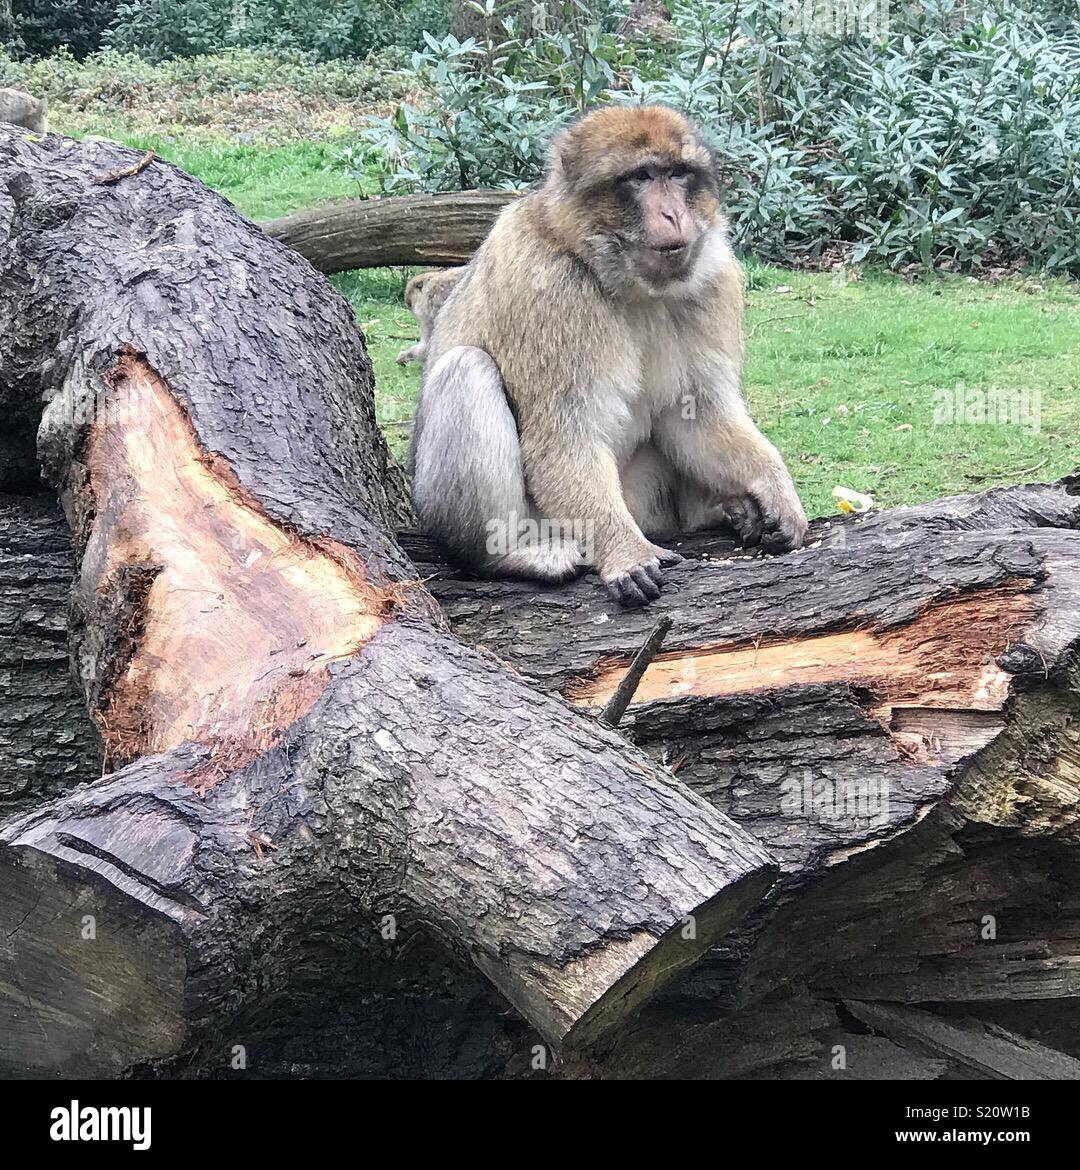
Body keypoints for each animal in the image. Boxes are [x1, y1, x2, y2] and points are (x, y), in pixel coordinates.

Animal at [410, 104, 808, 606]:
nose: (673, 213)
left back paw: (719, 512)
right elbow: (563, 434)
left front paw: (776, 490)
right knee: (466, 370)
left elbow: (696, 413)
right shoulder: (550, 288)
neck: (620, 279)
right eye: (640, 177)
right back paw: (510, 555)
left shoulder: (714, 280)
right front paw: (626, 552)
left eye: (678, 174)